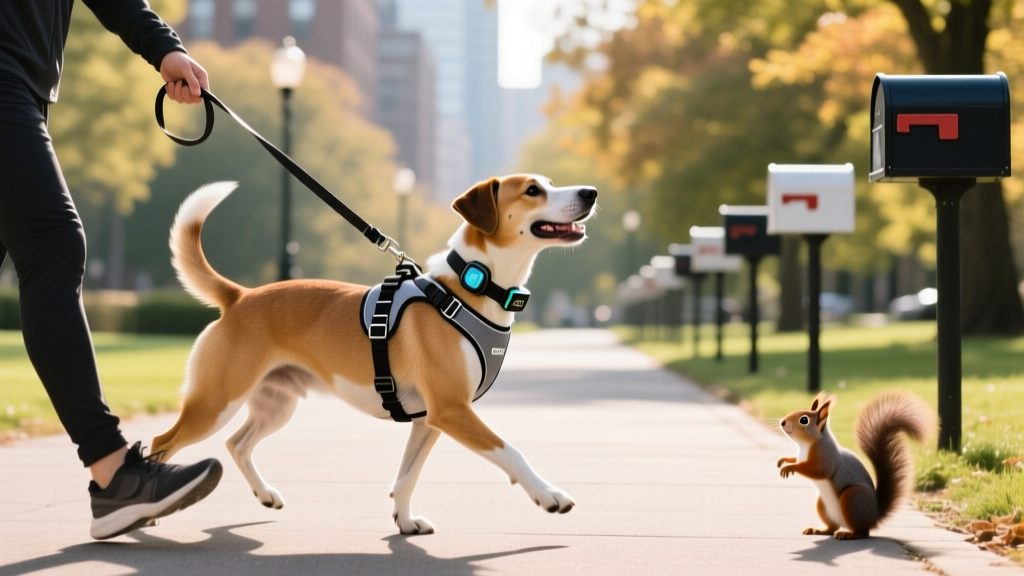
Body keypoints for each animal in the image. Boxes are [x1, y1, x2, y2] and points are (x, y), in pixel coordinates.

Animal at [777, 389, 938, 540]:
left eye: (804, 420)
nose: (782, 422)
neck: (806, 445)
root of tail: (874, 516)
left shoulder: (825, 454)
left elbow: (819, 470)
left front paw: (789, 468)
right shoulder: (802, 456)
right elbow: (796, 460)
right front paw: (783, 460)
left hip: (853, 498)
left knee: (863, 532)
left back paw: (849, 534)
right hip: (822, 504)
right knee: (832, 528)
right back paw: (817, 530)